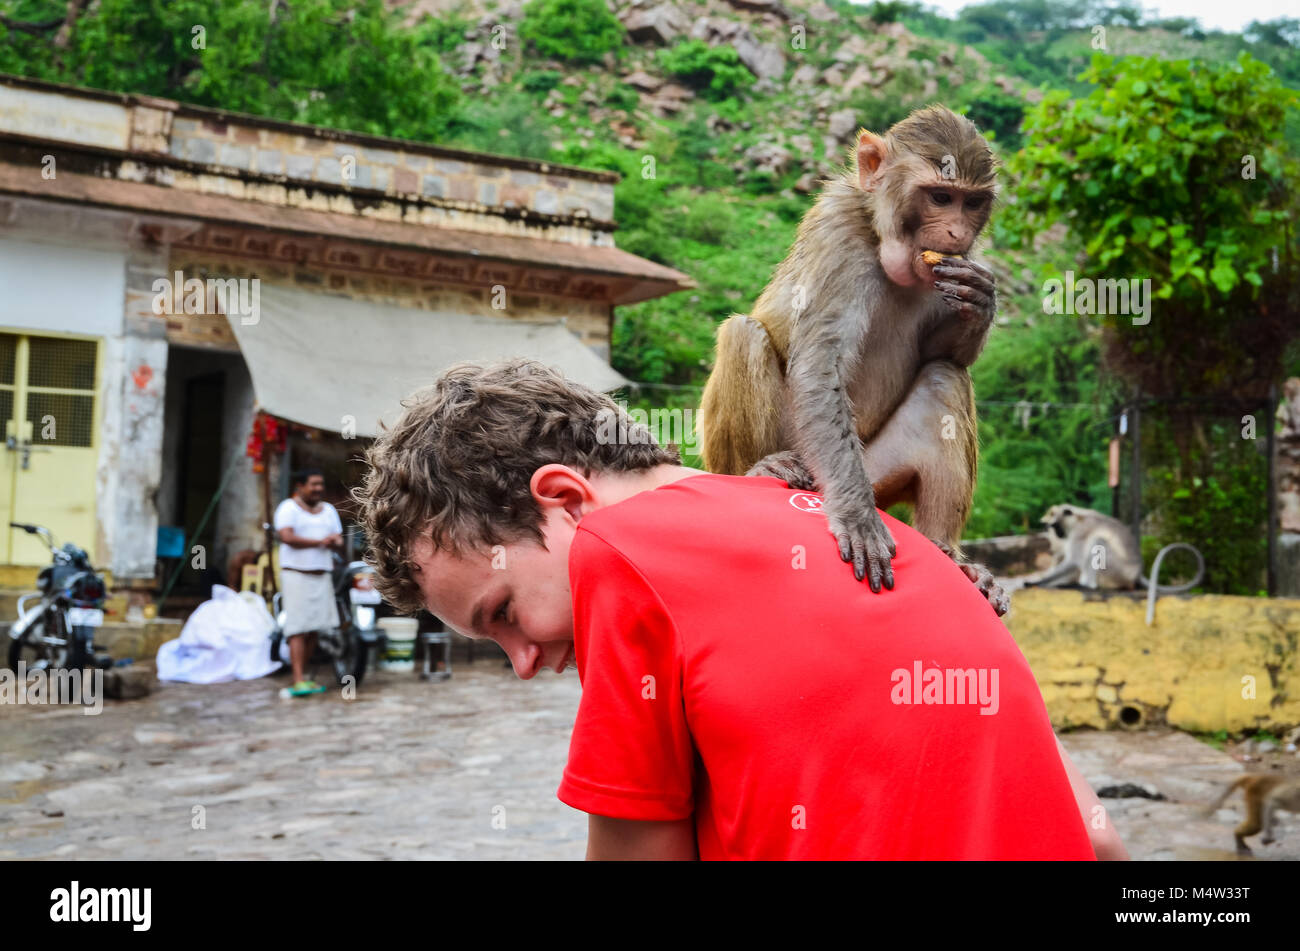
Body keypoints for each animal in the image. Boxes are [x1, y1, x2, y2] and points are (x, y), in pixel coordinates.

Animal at [698, 105, 999, 594]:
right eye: (939, 197)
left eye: (971, 203)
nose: (955, 233)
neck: (880, 237)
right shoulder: (838, 229)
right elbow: (820, 364)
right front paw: (857, 519)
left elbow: (945, 353)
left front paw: (980, 302)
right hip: (815, 464)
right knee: (744, 334)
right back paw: (759, 470)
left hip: (875, 472)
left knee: (944, 376)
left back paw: (952, 557)